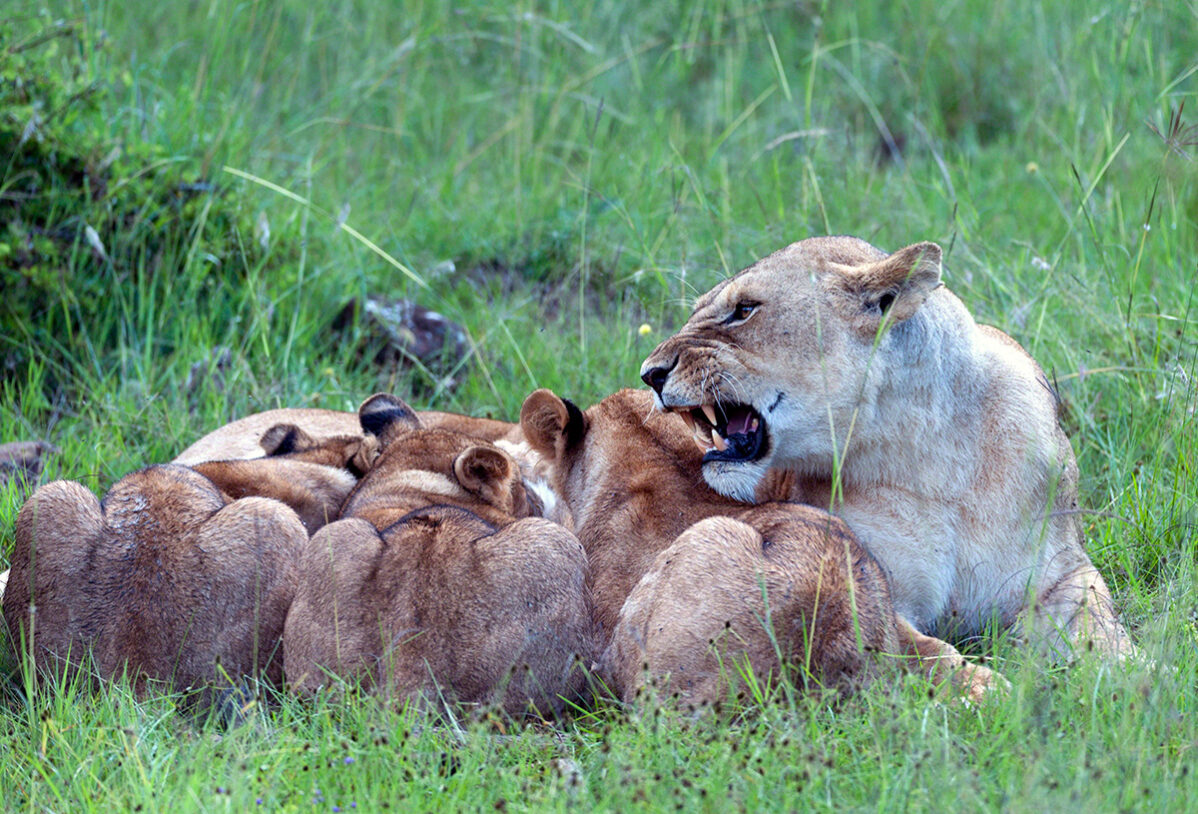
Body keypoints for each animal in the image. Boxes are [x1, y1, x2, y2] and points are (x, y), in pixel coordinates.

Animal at [282, 393, 596, 716]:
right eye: (519, 485)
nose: (535, 501)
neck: (412, 487)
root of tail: (412, 674)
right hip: (556, 544)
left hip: (331, 541)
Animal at [639, 235, 1132, 659]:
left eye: (744, 310)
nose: (650, 373)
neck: (931, 454)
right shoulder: (874, 584)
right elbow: (935, 659)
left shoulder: (1064, 573)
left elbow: (1103, 629)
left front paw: (1137, 682)